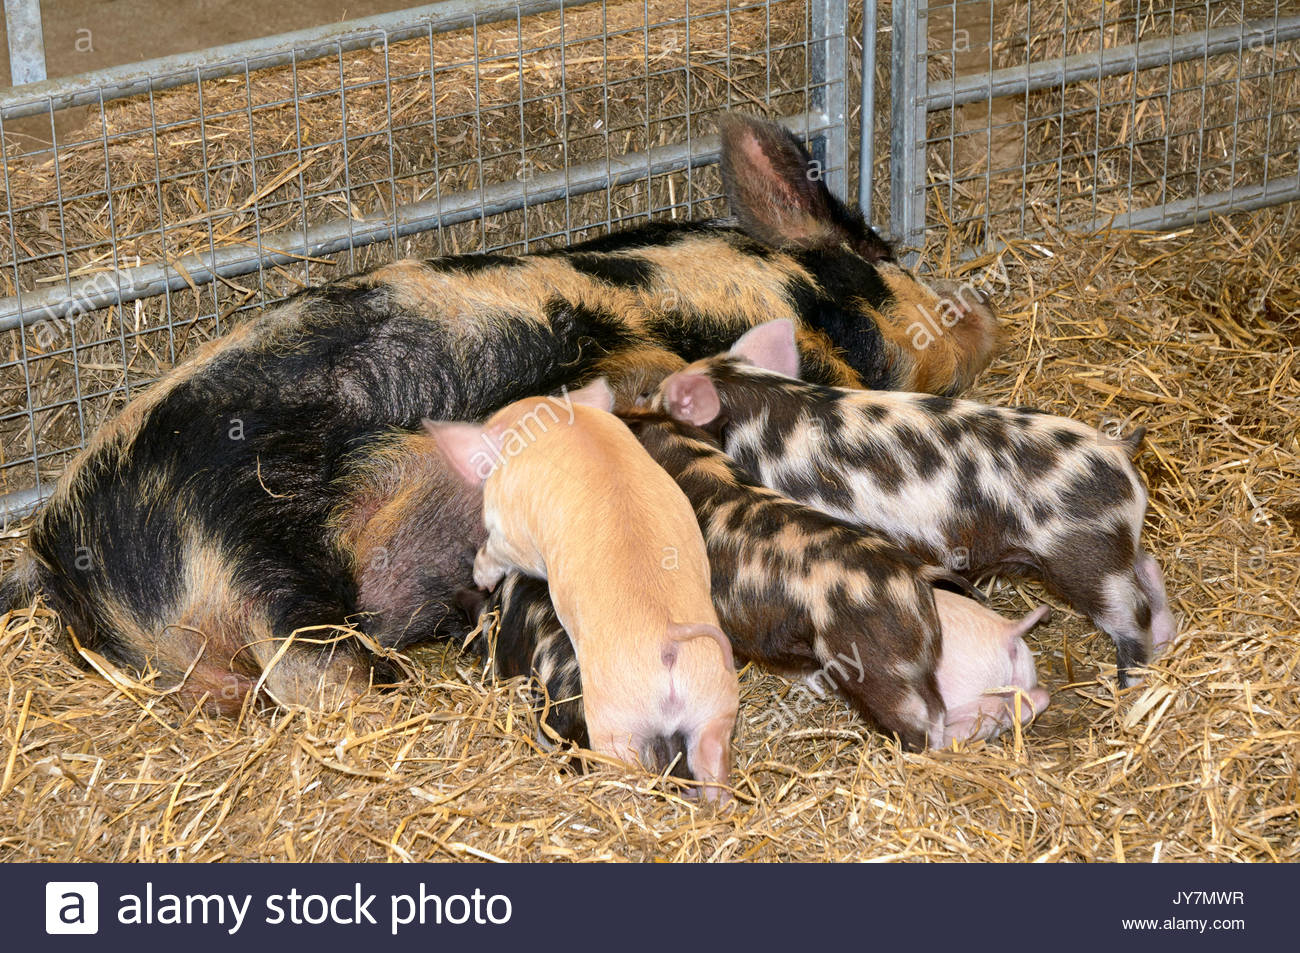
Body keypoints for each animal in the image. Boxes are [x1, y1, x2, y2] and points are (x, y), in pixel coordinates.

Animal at [0, 112, 999, 714]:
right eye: (879, 255)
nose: (977, 316)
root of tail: (64, 551)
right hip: (258, 542)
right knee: (311, 662)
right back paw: (390, 686)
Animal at [427, 380, 738, 797]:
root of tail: (671, 640)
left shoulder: (511, 531)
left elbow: (494, 553)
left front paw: (480, 578)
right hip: (714, 704)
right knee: (712, 769)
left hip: (617, 718)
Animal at [654, 318, 1177, 685]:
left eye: (663, 398)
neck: (756, 398)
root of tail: (1120, 452)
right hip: (1118, 545)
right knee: (1150, 570)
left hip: (1085, 557)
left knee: (1130, 613)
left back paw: (1129, 682)